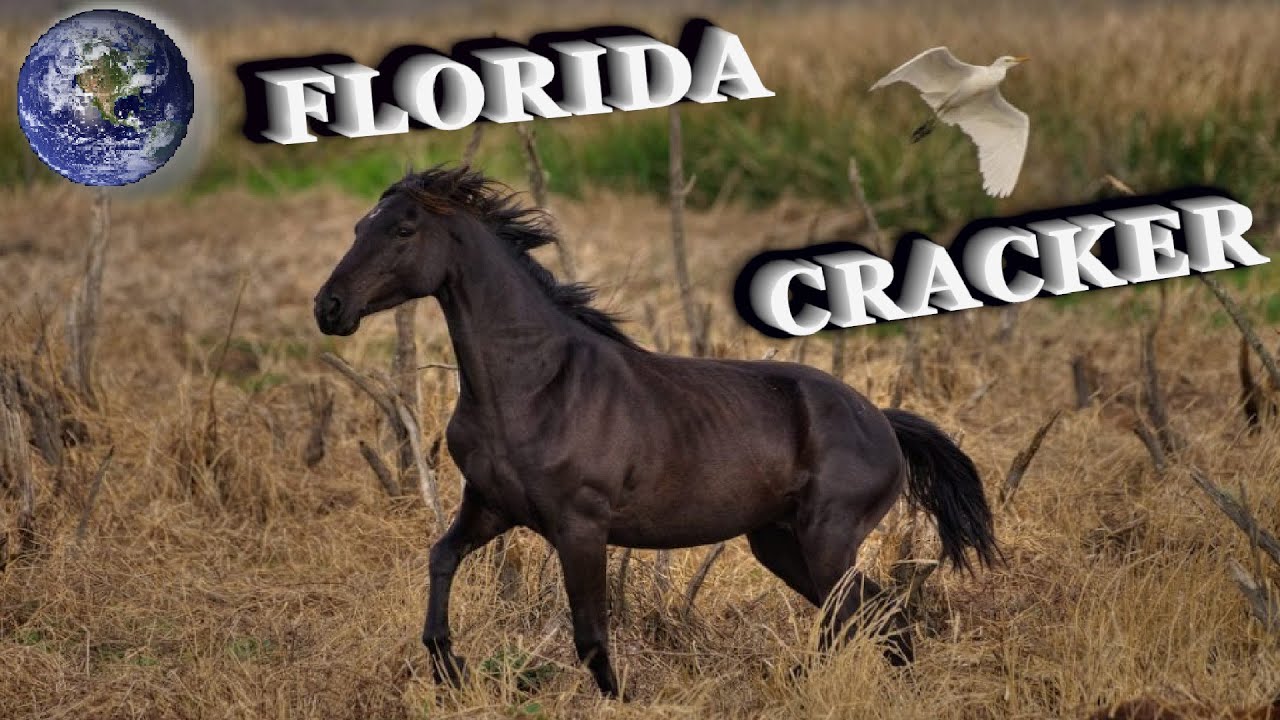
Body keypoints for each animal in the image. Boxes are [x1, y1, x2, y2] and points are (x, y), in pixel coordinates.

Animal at [313, 165, 999, 698]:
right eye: (357, 228)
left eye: (404, 230)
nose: (329, 307)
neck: (535, 385)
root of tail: (882, 420)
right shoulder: (489, 507)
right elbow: (441, 560)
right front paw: (448, 669)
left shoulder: (579, 527)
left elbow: (590, 635)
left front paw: (620, 700)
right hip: (779, 542)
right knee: (880, 617)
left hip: (826, 538)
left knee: (853, 616)